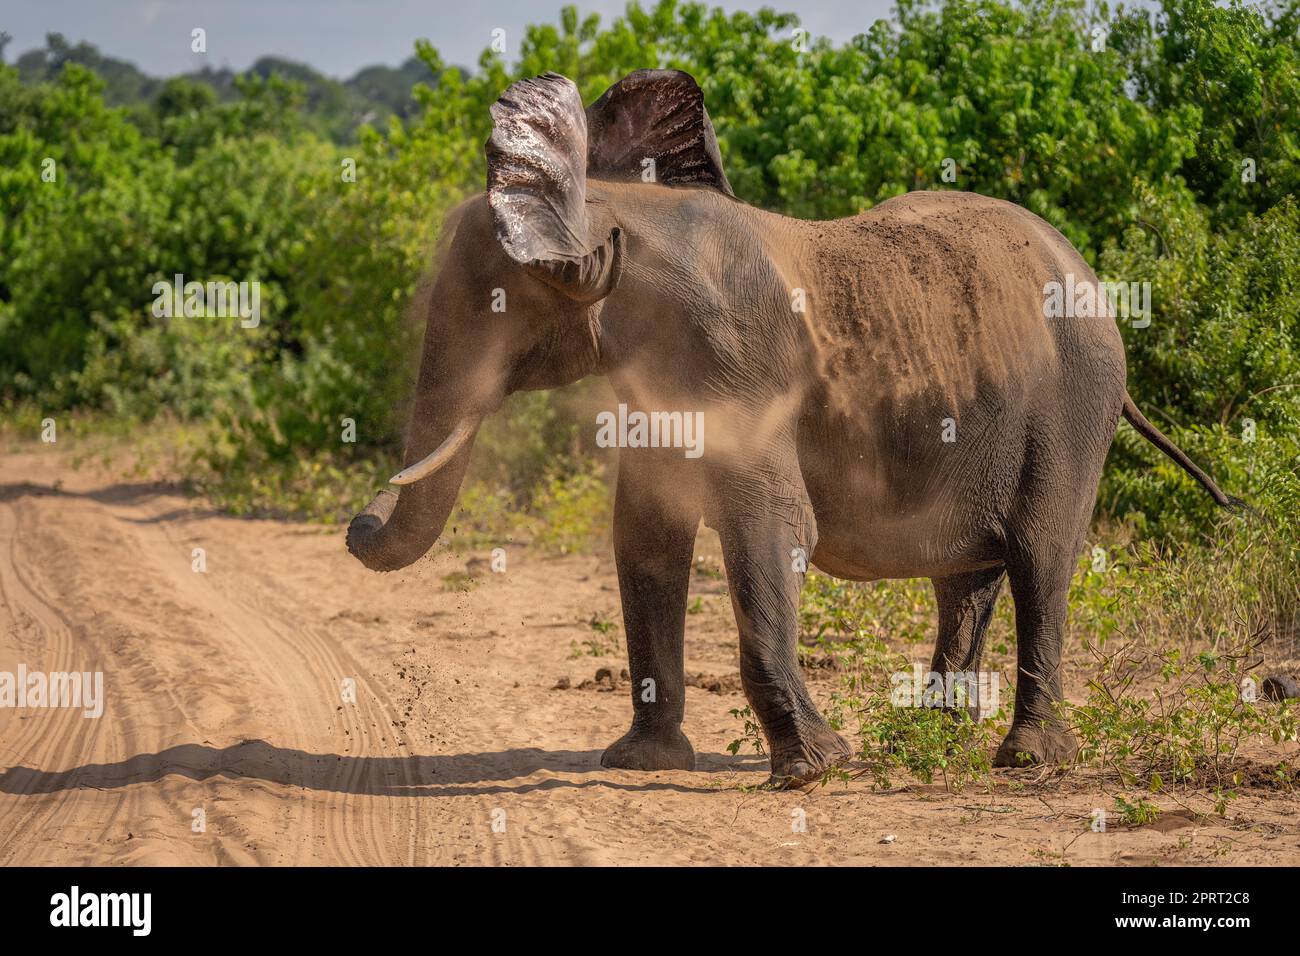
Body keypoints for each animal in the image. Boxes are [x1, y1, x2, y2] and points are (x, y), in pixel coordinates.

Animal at [346, 69, 1242, 786]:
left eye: (493, 302)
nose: (356, 524)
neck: (617, 208)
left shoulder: (737, 364)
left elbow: (771, 527)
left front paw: (812, 773)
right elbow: (645, 539)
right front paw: (642, 763)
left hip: (1074, 405)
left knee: (1042, 559)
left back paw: (1025, 760)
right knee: (969, 579)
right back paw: (930, 741)